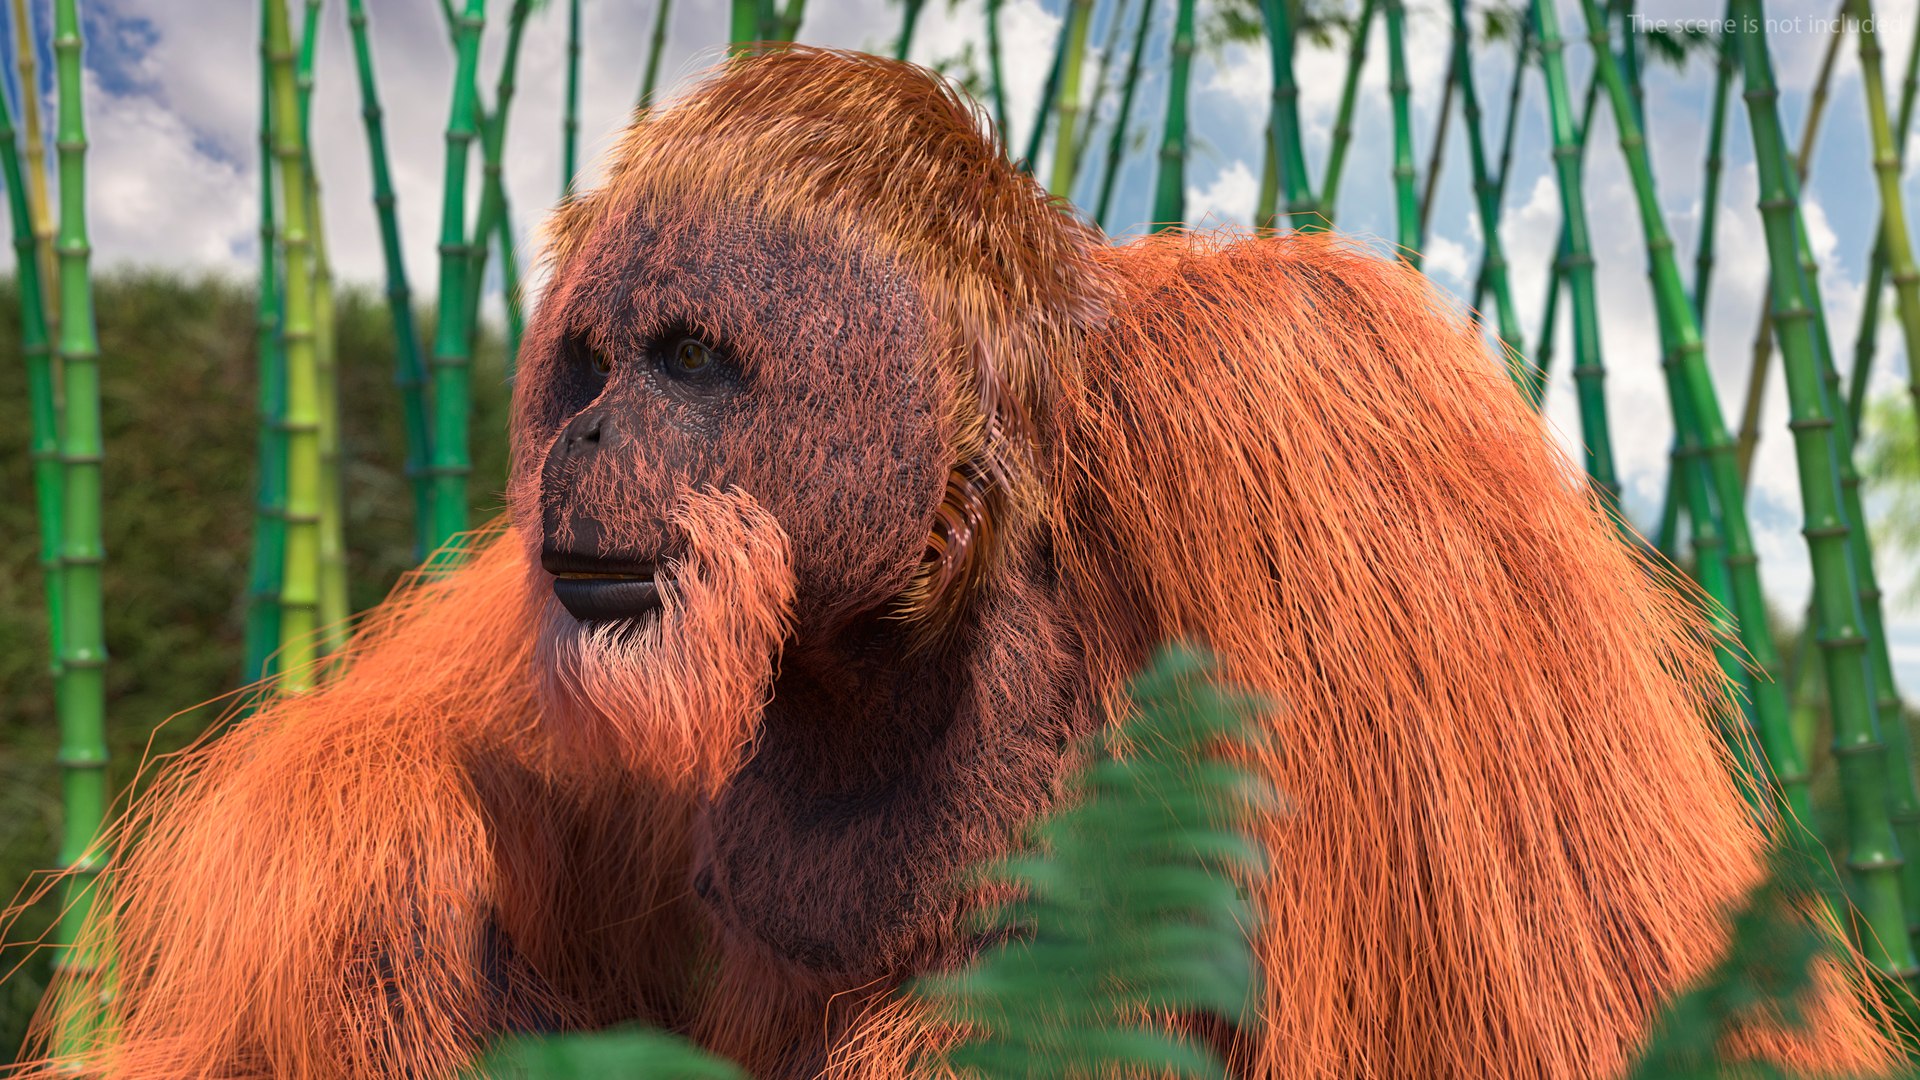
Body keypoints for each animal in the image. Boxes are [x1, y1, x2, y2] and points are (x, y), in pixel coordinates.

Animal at [13, 47, 1898, 1079]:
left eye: (688, 359)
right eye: (589, 368)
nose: (587, 443)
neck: (960, 543)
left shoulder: (1313, 419)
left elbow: (1565, 998)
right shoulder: (566, 601)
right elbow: (386, 795)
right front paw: (391, 876)